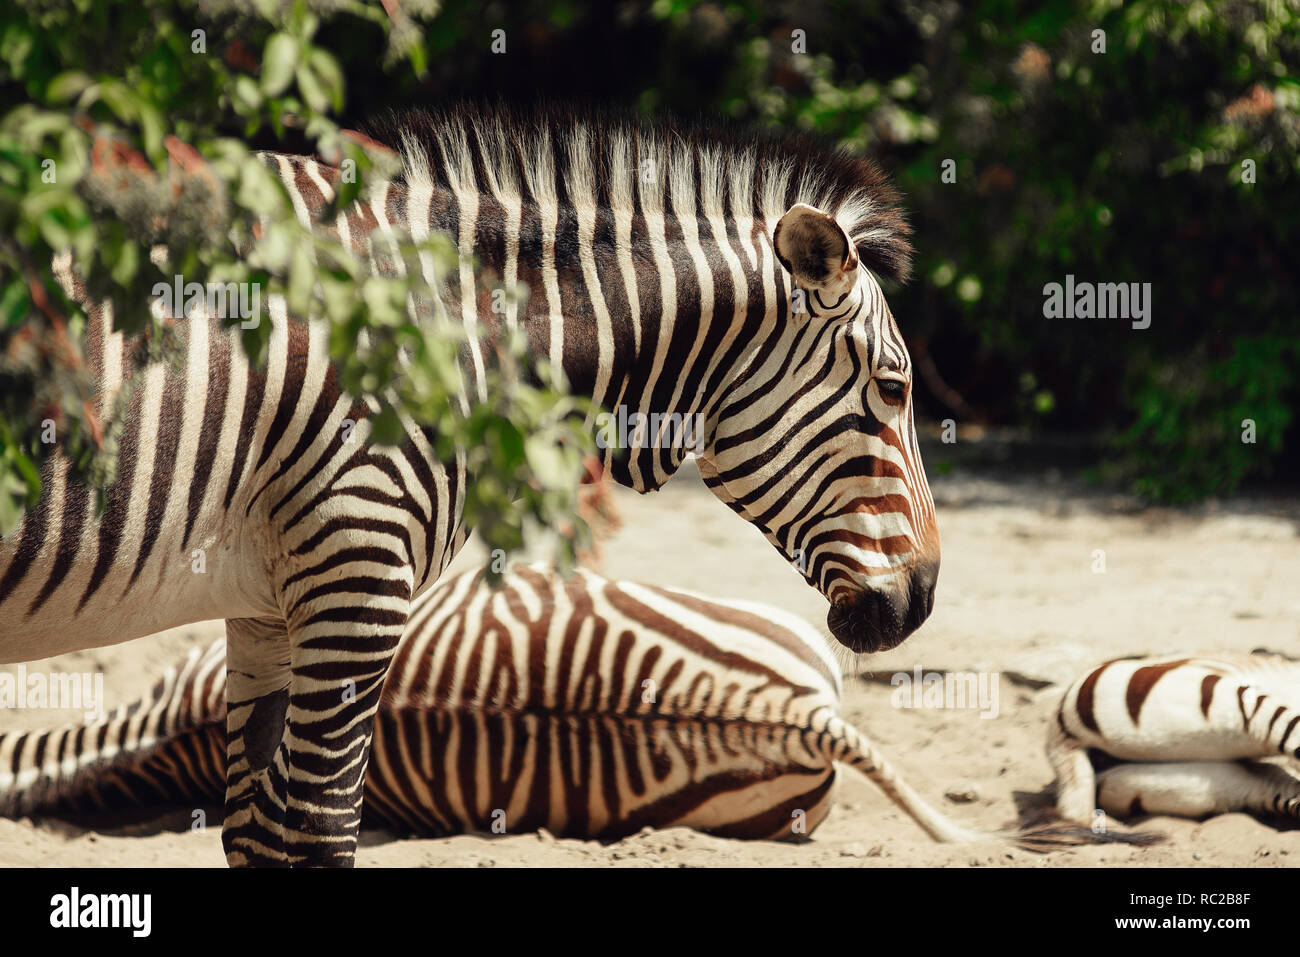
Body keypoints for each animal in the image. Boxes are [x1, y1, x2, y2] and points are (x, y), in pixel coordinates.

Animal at [0, 104, 940, 866]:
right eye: (894, 390)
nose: (924, 597)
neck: (455, 335)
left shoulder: (268, 608)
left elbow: (255, 834)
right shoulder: (360, 576)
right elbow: (317, 832)